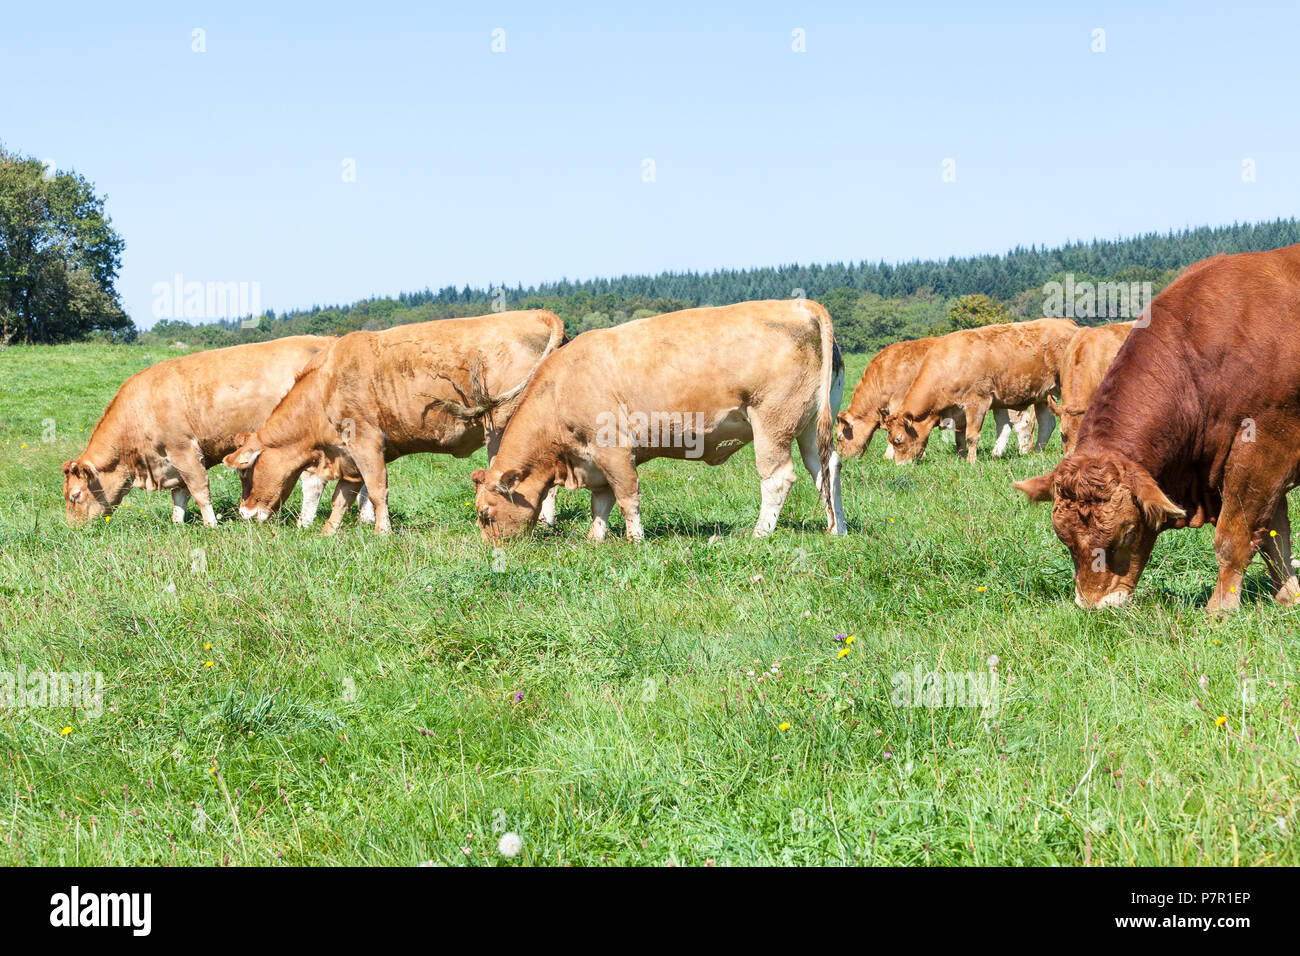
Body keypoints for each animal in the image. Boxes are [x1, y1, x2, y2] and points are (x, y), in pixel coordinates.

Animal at [62, 335, 340, 527]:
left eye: (76, 495)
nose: (74, 529)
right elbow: (180, 493)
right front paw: (177, 523)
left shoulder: (182, 449)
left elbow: (198, 488)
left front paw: (211, 524)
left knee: (312, 480)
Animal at [224, 309, 565, 535]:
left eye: (245, 470)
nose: (244, 512)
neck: (323, 387)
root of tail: (537, 313)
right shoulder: (348, 456)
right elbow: (342, 497)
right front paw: (328, 533)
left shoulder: (366, 443)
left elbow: (376, 490)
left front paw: (382, 533)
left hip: (508, 429)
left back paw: (541, 524)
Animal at [469, 299, 847, 543]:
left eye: (485, 513)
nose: (490, 552)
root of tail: (799, 305)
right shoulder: (593, 460)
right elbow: (601, 501)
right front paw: (595, 539)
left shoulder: (614, 450)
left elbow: (626, 496)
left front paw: (635, 541)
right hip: (810, 427)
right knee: (827, 470)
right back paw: (836, 529)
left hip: (772, 423)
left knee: (778, 478)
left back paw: (759, 534)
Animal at [838, 337, 1035, 460]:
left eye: (839, 437)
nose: (842, 458)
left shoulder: (898, 402)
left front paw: (888, 456)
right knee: (1004, 425)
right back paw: (997, 453)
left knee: (1022, 422)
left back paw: (1023, 451)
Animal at [882, 318, 1078, 463]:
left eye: (898, 440)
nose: (900, 465)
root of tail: (1066, 323)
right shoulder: (957, 411)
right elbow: (959, 437)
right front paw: (961, 458)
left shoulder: (977, 402)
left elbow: (971, 436)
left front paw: (971, 461)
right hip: (1043, 395)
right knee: (1047, 424)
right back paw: (1036, 453)